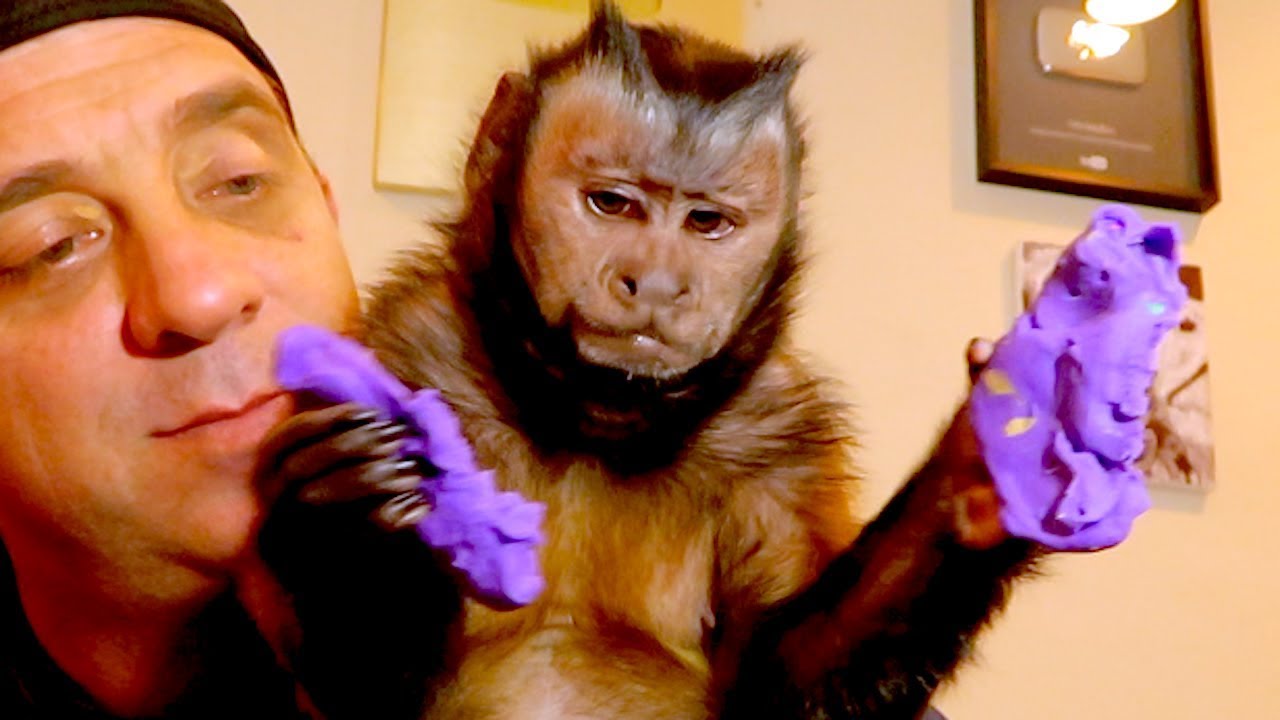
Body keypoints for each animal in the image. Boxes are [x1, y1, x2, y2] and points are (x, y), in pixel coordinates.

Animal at [254, 3, 1039, 718]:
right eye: (612, 204)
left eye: (706, 222)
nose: (657, 283)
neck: (590, 419)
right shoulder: (407, 346)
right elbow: (372, 690)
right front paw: (349, 513)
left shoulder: (782, 433)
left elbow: (783, 683)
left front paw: (976, 474)